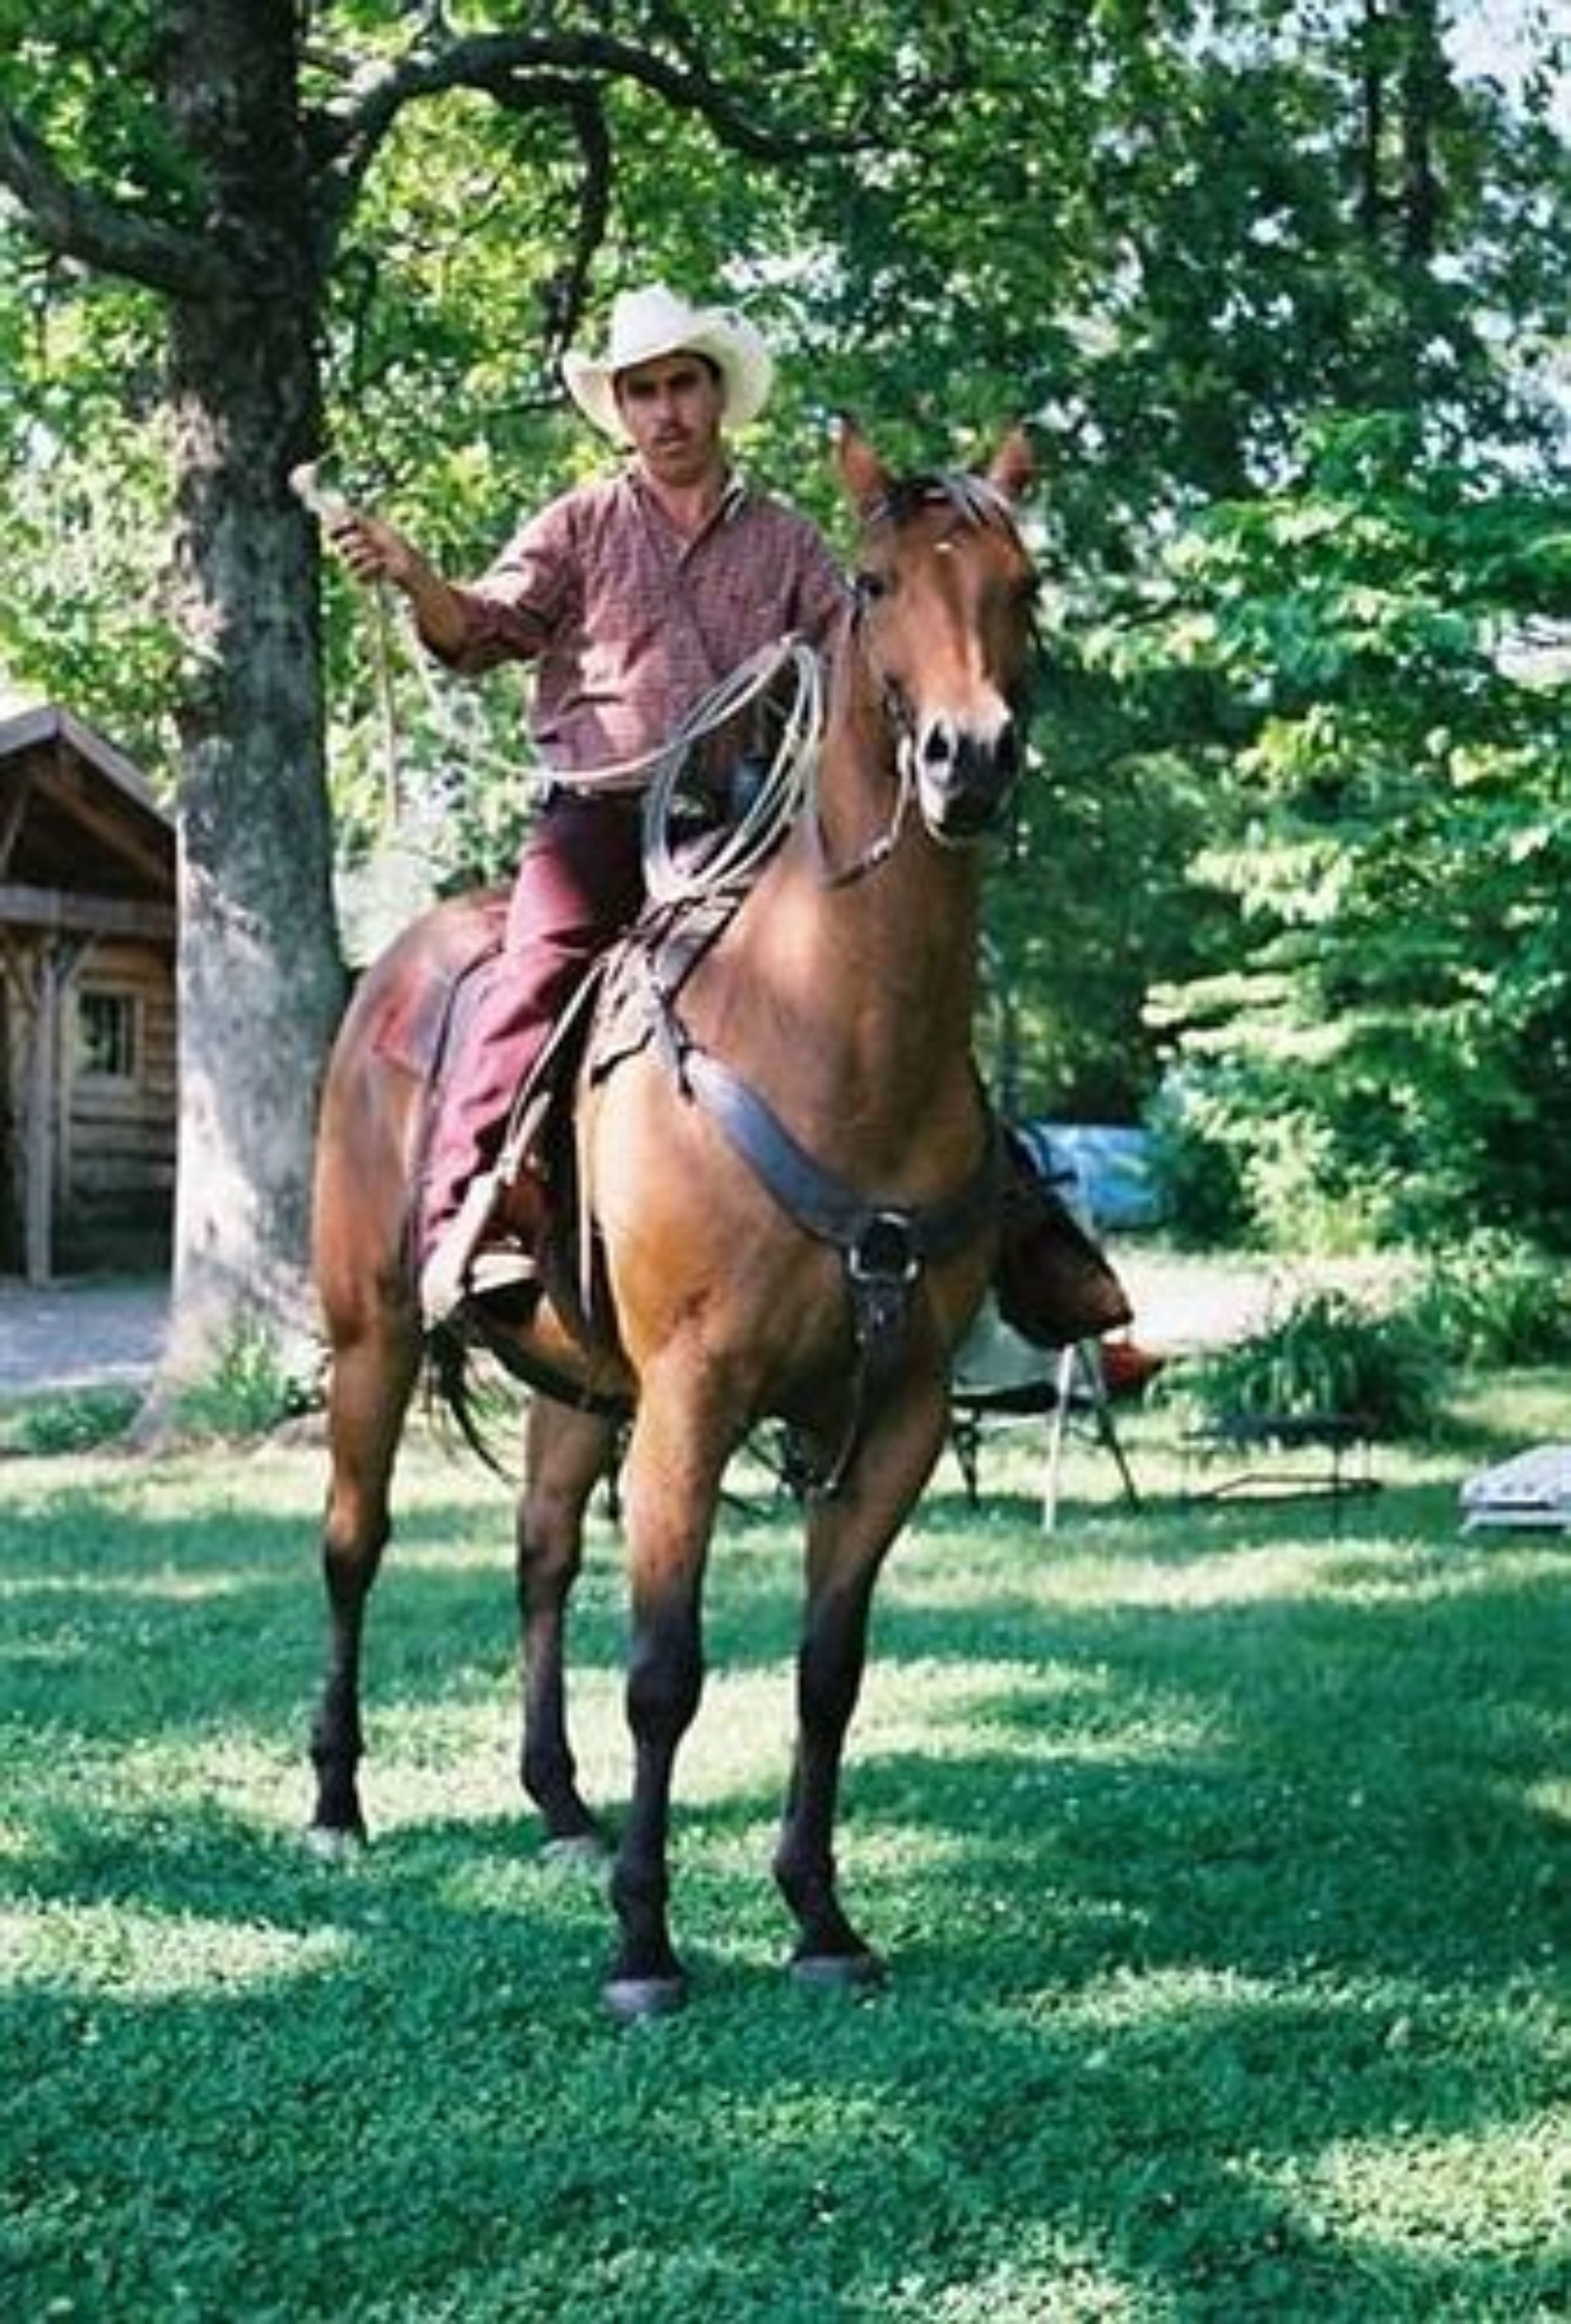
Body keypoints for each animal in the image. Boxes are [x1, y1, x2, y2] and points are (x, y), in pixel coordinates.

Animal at [307, 418, 1043, 2017]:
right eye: (876, 583)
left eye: (1024, 583)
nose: (966, 759)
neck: (833, 1037)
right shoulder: (697, 1399)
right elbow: (665, 1668)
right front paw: (644, 1944)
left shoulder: (895, 1410)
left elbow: (827, 1668)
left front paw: (817, 1914)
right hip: (371, 1336)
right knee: (353, 1542)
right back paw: (335, 1801)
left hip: (582, 1384)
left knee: (538, 1551)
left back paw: (559, 1803)